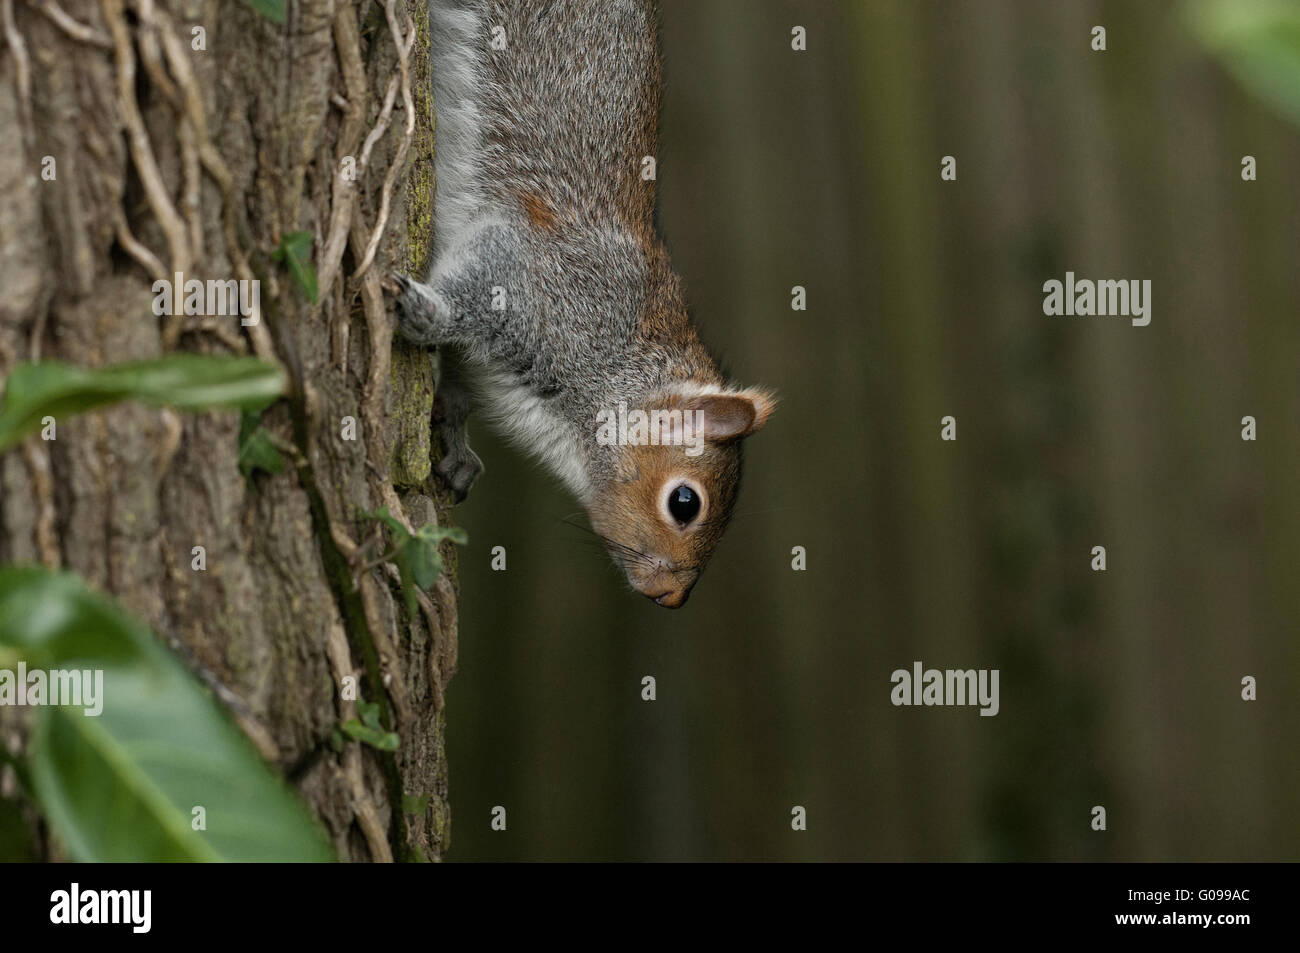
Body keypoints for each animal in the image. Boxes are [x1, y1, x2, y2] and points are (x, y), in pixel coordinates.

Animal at [392, 0, 775, 608]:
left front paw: (456, 444)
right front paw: (427, 312)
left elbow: (453, 385)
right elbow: (474, 290)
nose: (672, 598)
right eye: (685, 503)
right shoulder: (540, 282)